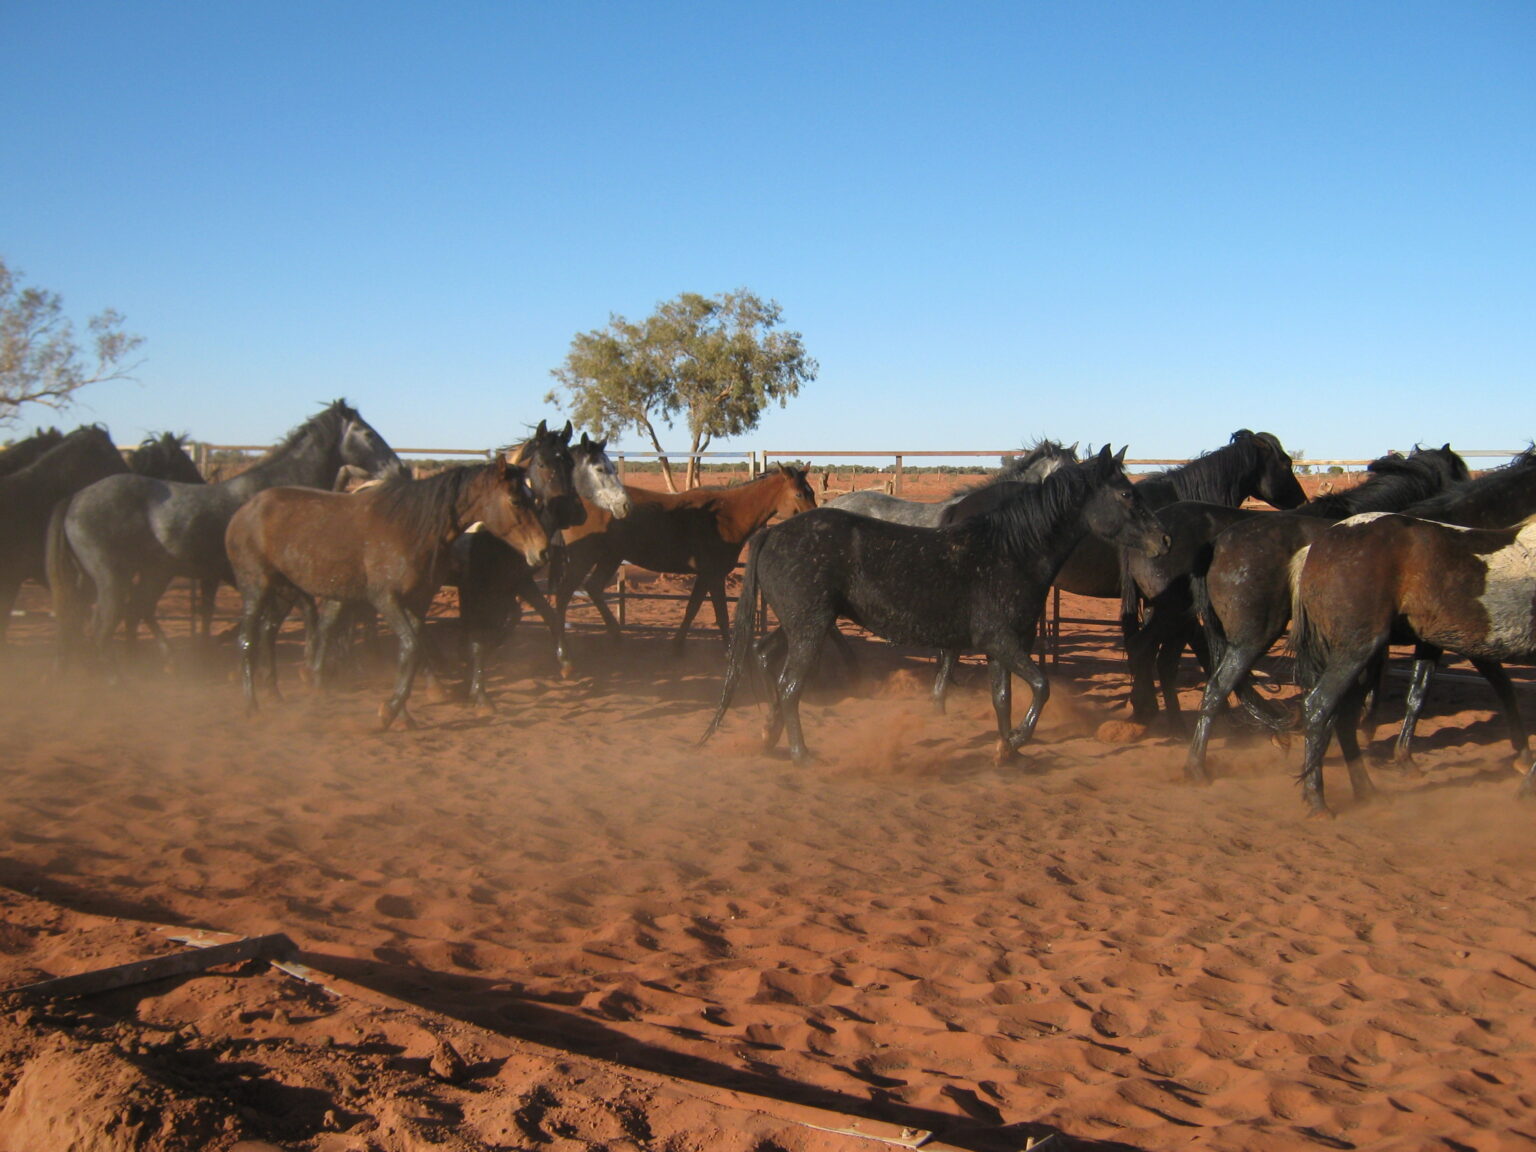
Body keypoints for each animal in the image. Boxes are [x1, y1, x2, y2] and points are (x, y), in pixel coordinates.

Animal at [48, 400, 404, 673]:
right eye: (368, 433)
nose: (399, 468)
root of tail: (74, 499)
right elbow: (288, 616)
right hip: (112, 579)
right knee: (103, 628)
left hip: (145, 575)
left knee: (129, 614)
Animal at [226, 458, 549, 729]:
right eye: (516, 500)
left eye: (533, 498)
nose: (543, 550)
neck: (413, 529)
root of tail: (244, 511)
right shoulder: (386, 600)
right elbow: (414, 647)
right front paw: (389, 712)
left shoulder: (418, 601)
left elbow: (412, 652)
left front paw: (402, 714)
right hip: (256, 587)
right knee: (247, 639)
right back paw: (253, 706)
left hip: (284, 590)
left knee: (269, 632)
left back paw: (276, 694)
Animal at [455, 429, 632, 704]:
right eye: (600, 468)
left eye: (614, 467)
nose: (624, 505)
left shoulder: (517, 582)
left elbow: (529, 615)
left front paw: (565, 662)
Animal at [551, 464, 819, 651]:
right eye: (798, 494)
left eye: (812, 492)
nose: (814, 520)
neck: (726, 516)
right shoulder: (711, 574)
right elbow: (714, 612)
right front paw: (721, 649)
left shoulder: (709, 576)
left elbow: (700, 610)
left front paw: (682, 645)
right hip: (583, 558)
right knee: (563, 595)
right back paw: (562, 647)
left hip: (610, 557)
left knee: (593, 588)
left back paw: (616, 636)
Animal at [1290, 511, 1536, 815]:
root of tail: (1316, 547)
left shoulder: (1463, 645)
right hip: (1358, 650)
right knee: (1318, 707)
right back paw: (1318, 802)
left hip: (1363, 659)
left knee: (1344, 718)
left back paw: (1368, 793)